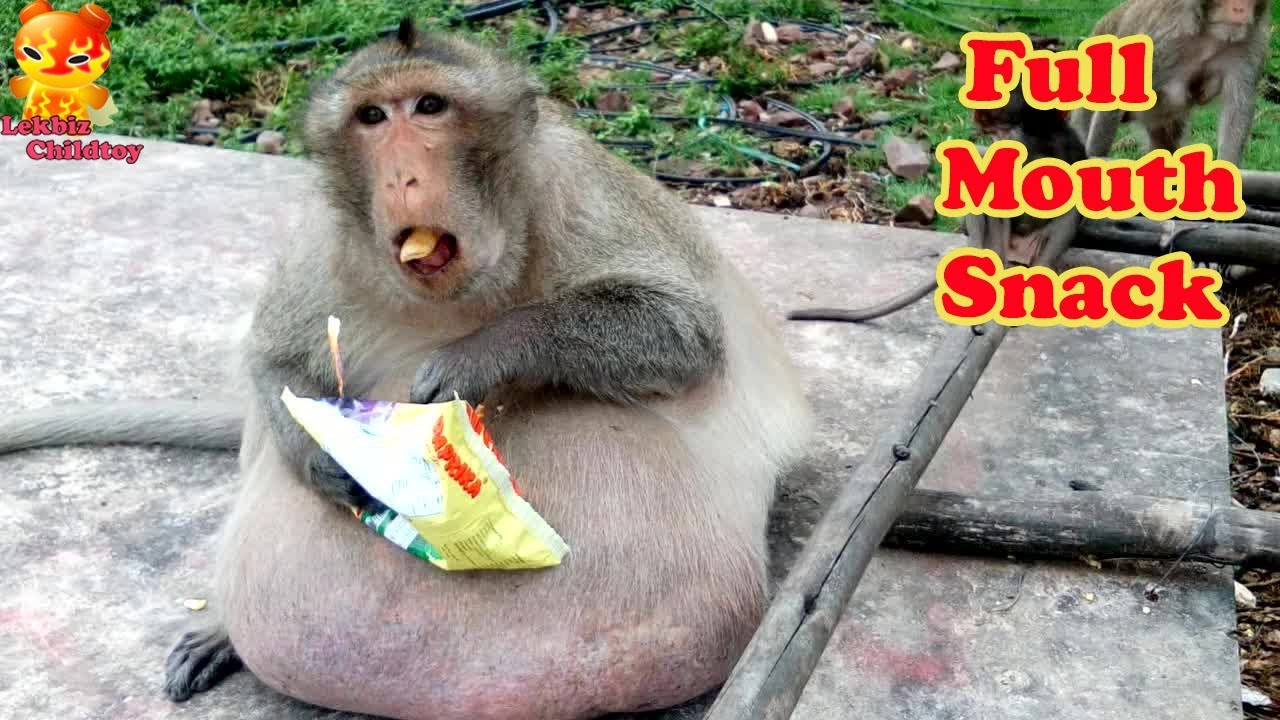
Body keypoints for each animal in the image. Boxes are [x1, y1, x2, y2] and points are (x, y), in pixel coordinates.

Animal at [0, 20, 815, 719]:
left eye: (429, 107)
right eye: (371, 118)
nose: (402, 180)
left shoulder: (576, 188)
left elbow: (684, 335)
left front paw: (481, 355)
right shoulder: (328, 235)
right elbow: (274, 361)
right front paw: (322, 457)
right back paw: (228, 626)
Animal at [1070, 0, 1272, 167]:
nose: (1240, 9)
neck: (1209, 33)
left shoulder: (1251, 46)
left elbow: (1237, 108)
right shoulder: (1162, 39)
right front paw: (1096, 157)